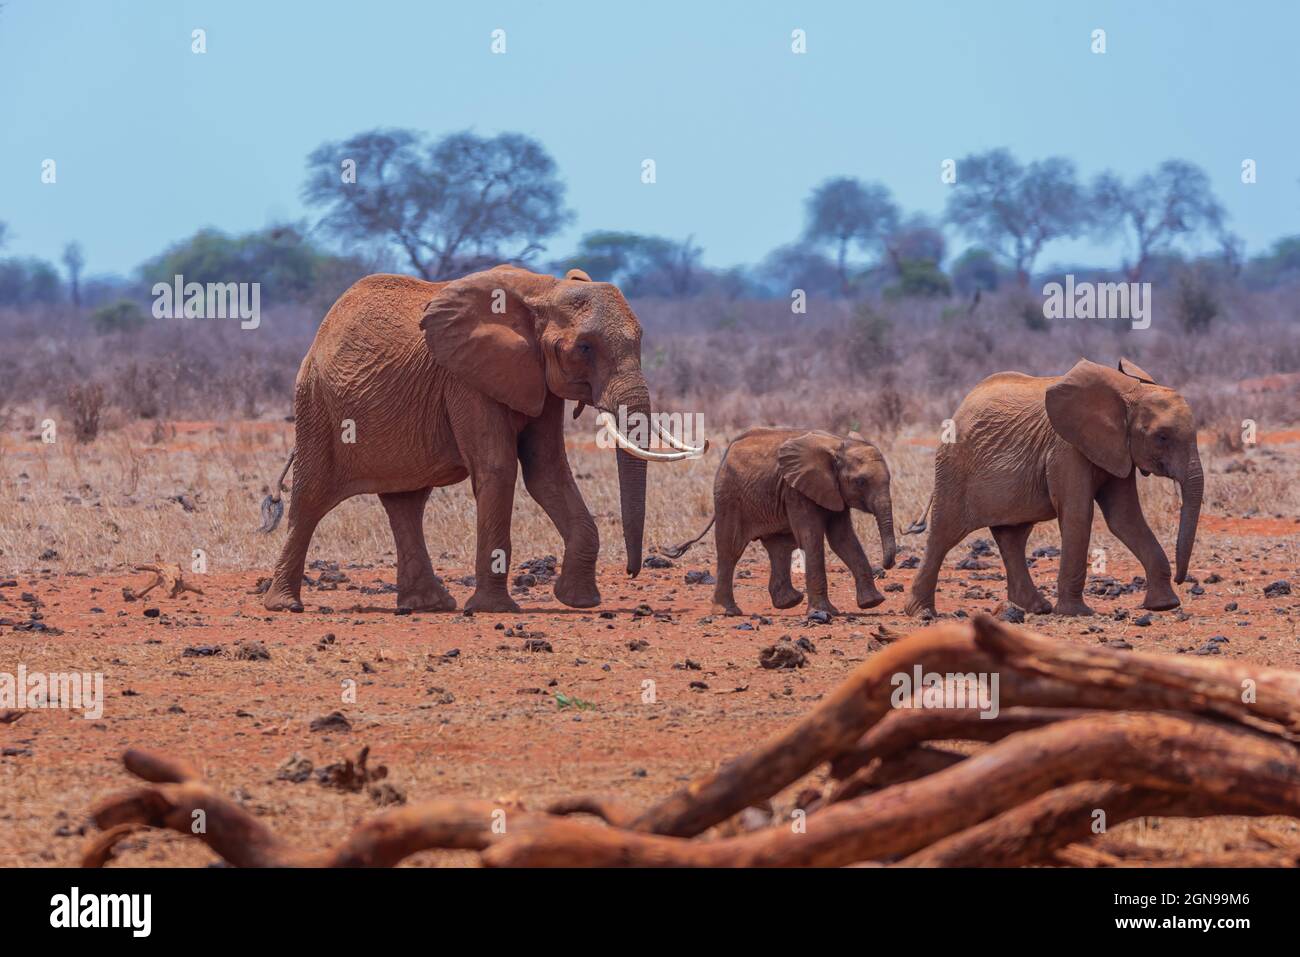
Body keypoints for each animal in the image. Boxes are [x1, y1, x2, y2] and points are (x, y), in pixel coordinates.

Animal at [259, 265, 701, 614]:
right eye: (585, 348)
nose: (632, 571)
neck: (545, 289)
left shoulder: (537, 379)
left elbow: (548, 472)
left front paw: (579, 602)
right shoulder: (466, 379)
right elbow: (498, 468)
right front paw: (494, 610)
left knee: (406, 504)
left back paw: (429, 606)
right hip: (316, 404)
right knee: (311, 496)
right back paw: (285, 605)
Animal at [665, 428, 897, 617]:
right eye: (860, 482)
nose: (887, 565)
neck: (838, 444)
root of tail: (727, 451)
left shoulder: (832, 491)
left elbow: (843, 540)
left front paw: (872, 603)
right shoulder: (796, 490)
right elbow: (811, 538)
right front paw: (824, 612)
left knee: (780, 547)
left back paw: (788, 602)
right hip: (728, 496)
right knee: (730, 549)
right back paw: (728, 612)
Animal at [904, 358, 1204, 618]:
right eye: (1162, 437)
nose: (1181, 579)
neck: (1128, 390)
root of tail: (960, 406)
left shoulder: (1118, 448)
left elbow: (1124, 518)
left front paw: (1164, 606)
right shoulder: (1066, 448)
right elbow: (1079, 514)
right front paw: (1077, 613)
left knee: (1012, 537)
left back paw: (1036, 608)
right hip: (954, 468)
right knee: (944, 533)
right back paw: (921, 613)